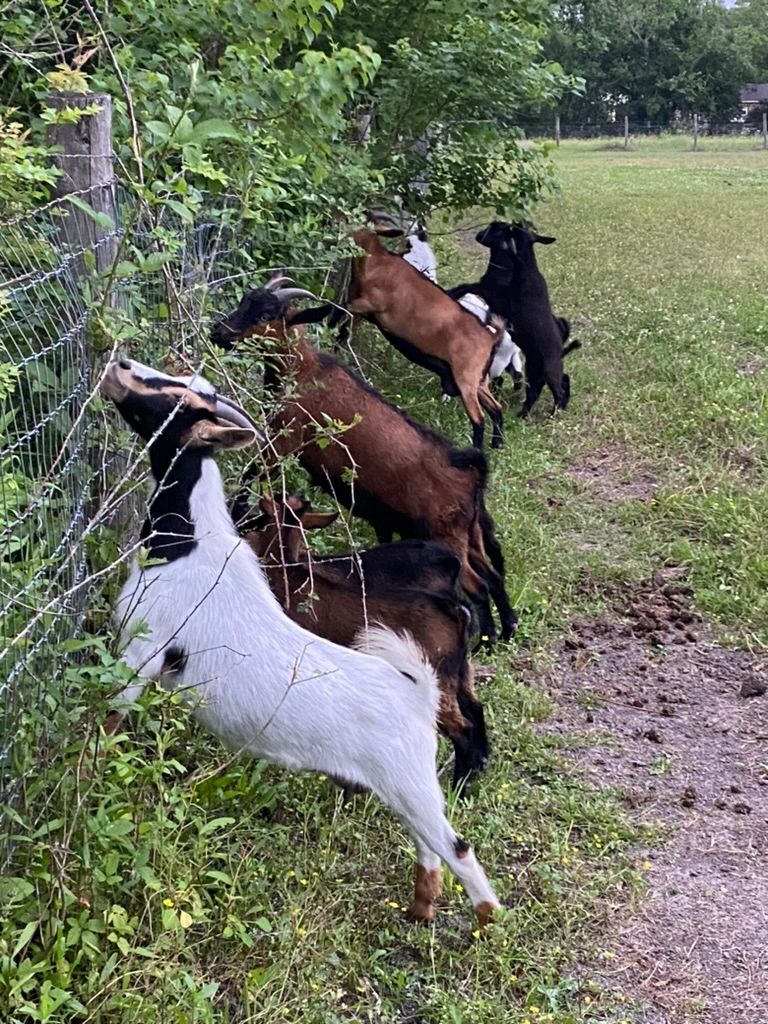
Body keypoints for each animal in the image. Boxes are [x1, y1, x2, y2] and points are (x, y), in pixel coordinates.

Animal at [211, 278, 517, 644]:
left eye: (267, 313)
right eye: (246, 301)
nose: (218, 332)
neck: (302, 370)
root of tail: (470, 470)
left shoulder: (284, 441)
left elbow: (252, 475)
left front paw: (238, 515)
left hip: (446, 533)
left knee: (479, 584)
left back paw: (487, 640)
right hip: (467, 533)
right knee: (493, 574)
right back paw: (506, 629)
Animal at [244, 493, 490, 790]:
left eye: (263, 520)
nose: (247, 536)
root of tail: (457, 612)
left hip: (436, 682)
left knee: (462, 727)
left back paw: (459, 788)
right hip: (459, 673)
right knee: (474, 710)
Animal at [448, 221, 581, 418]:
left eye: (496, 228)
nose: (480, 234)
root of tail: (560, 351)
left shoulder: (492, 294)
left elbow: (466, 287)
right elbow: (467, 287)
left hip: (545, 372)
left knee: (554, 390)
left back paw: (551, 412)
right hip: (536, 371)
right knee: (553, 384)